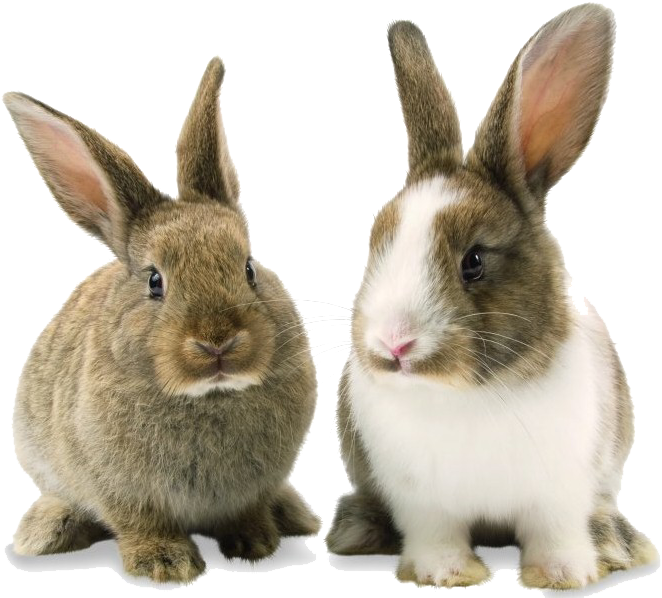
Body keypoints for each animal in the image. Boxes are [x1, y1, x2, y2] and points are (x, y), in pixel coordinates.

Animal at [4, 55, 321, 584]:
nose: (217, 343)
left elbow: (248, 510)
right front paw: (167, 564)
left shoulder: (254, 487)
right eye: (155, 282)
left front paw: (255, 545)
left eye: (248, 269)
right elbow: (140, 522)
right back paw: (45, 534)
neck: (208, 395)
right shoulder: (122, 490)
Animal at [325, 4, 659, 590]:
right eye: (376, 241)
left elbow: (556, 532)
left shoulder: (561, 491)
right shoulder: (422, 503)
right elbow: (437, 535)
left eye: (474, 261)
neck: (465, 397)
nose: (393, 344)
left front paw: (564, 575)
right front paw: (445, 573)